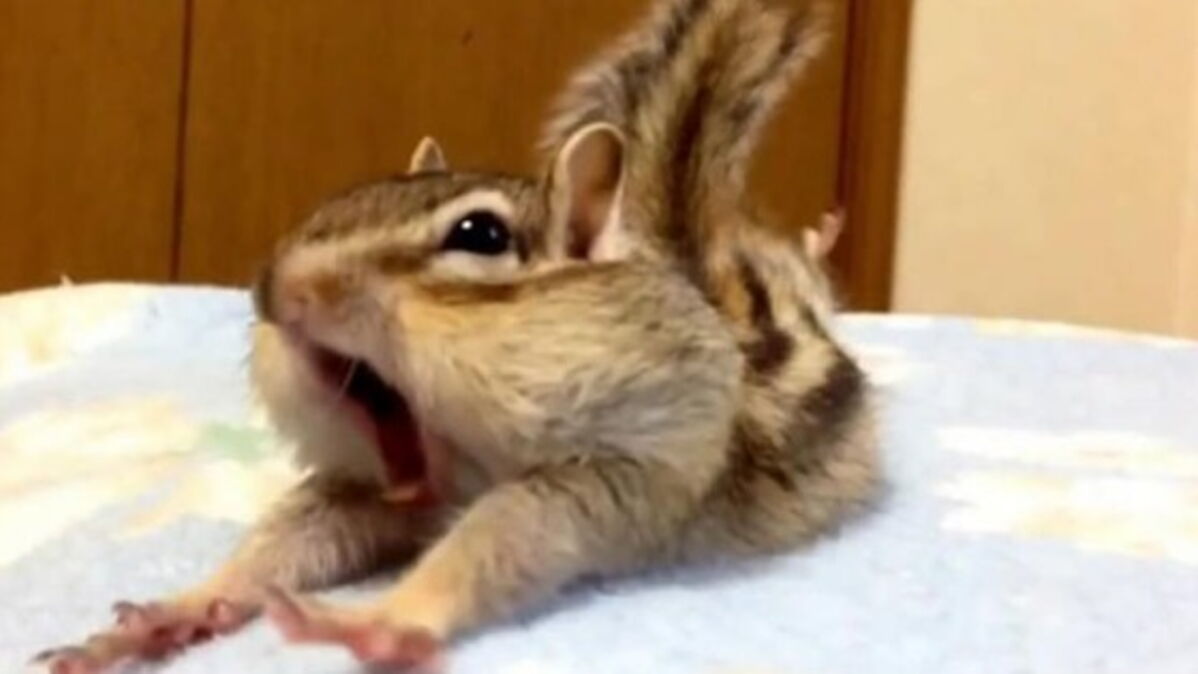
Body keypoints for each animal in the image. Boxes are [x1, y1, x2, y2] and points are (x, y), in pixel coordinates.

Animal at [34, 0, 876, 672]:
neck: (460, 463)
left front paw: (379, 620)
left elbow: (495, 544)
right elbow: (276, 546)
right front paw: (169, 613)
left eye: (480, 234)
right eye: (338, 199)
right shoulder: (364, 494)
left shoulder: (618, 479)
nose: (272, 288)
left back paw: (824, 232)